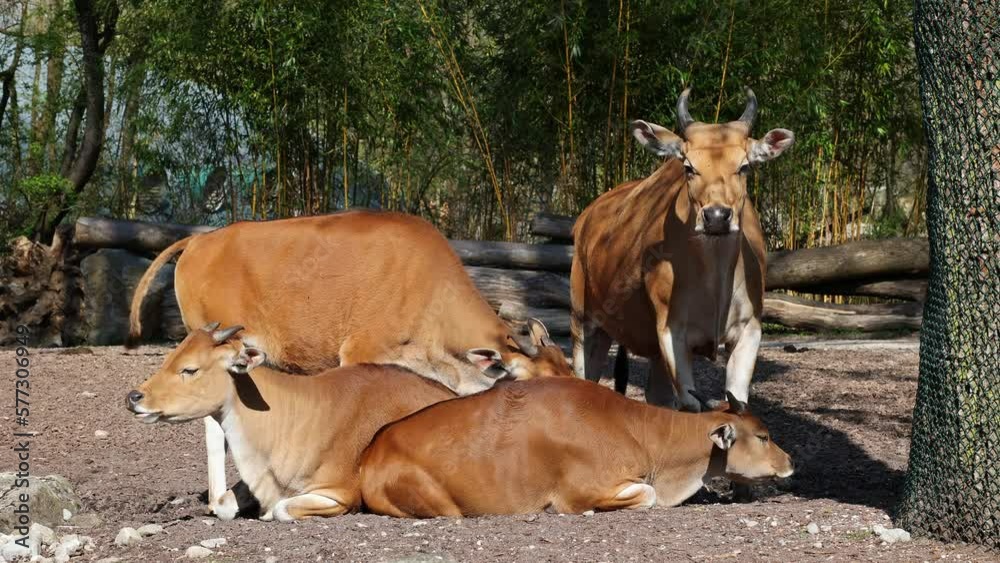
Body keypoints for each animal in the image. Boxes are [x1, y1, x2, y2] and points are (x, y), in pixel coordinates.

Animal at [125, 324, 460, 521]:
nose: (134, 396)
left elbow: (282, 509)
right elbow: (222, 504)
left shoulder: (339, 493)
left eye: (190, 369)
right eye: (170, 358)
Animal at [570, 88, 794, 411]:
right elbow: (690, 405)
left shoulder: (750, 329)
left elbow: (737, 401)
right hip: (584, 322)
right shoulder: (671, 331)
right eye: (688, 167)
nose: (716, 217)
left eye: (744, 166)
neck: (715, 280)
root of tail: (585, 218)